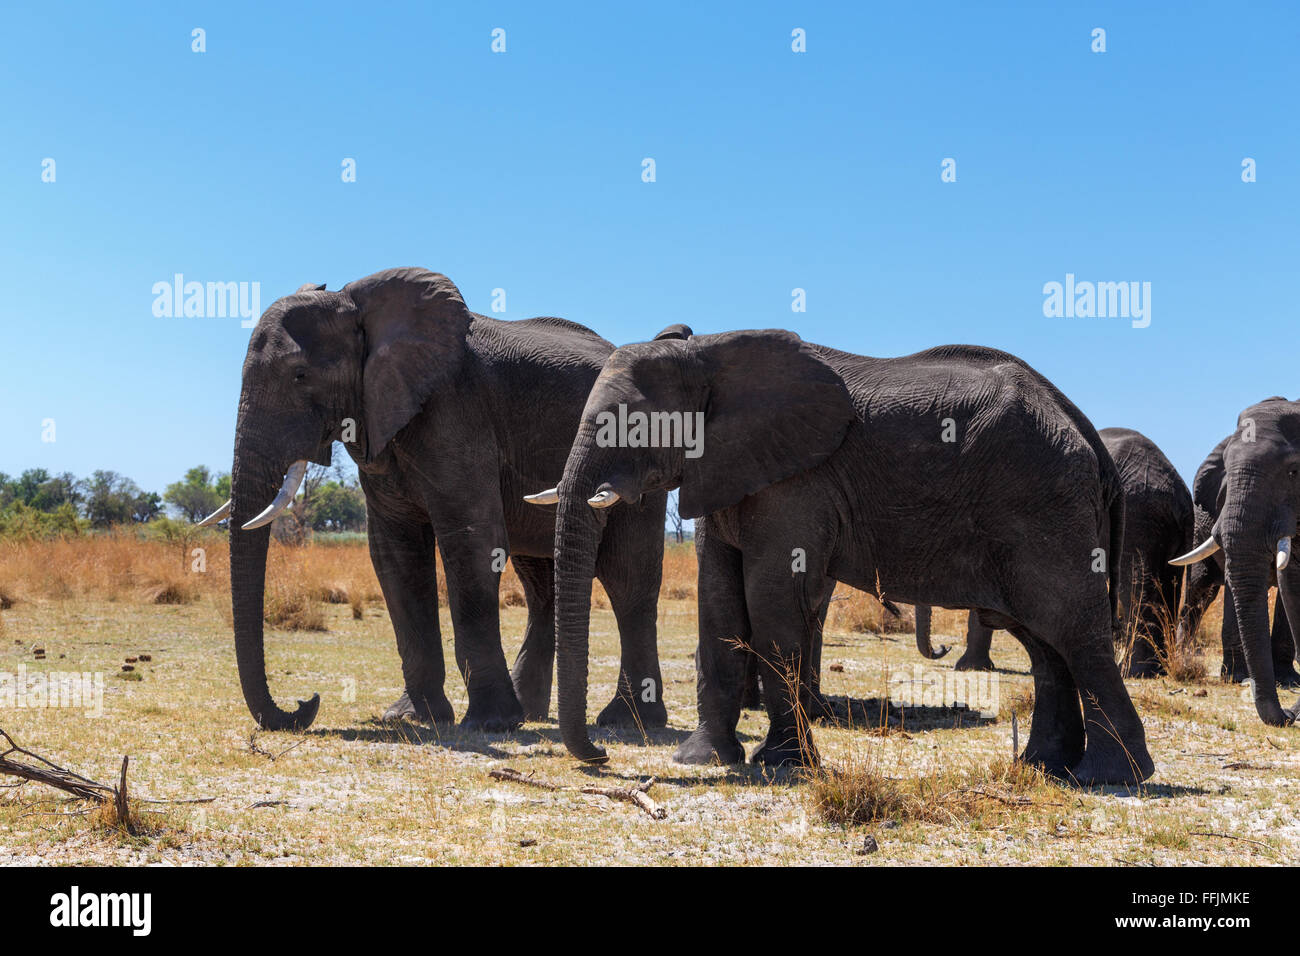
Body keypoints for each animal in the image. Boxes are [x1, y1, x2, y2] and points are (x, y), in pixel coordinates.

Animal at [200, 267, 683, 733]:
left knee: (627, 578)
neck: (358, 304)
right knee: (540, 582)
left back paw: (625, 721)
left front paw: (490, 724)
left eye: (300, 375)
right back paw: (533, 713)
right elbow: (395, 556)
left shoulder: (455, 409)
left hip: (635, 457)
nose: (306, 704)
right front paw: (412, 718)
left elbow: (471, 542)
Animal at [535, 331, 1153, 785]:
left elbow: (770, 602)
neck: (707, 354)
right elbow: (719, 602)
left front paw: (782, 765)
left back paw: (1110, 777)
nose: (601, 757)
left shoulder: (796, 482)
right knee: (1045, 641)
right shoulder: (729, 470)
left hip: (1045, 504)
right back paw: (1044, 768)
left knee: (1072, 630)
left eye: (632, 426)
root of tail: (1085, 429)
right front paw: (702, 759)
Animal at [913, 427, 1195, 679]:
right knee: (1167, 586)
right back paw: (1158, 671)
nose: (943, 648)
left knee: (1137, 586)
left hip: (1138, 519)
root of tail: (1181, 496)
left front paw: (967, 667)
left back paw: (1135, 673)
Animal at [1172, 400, 1300, 715]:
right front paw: (1236, 677)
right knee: (1200, 592)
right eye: (1228, 478)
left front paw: (1288, 681)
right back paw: (1183, 656)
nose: (1289, 714)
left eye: (1294, 472)